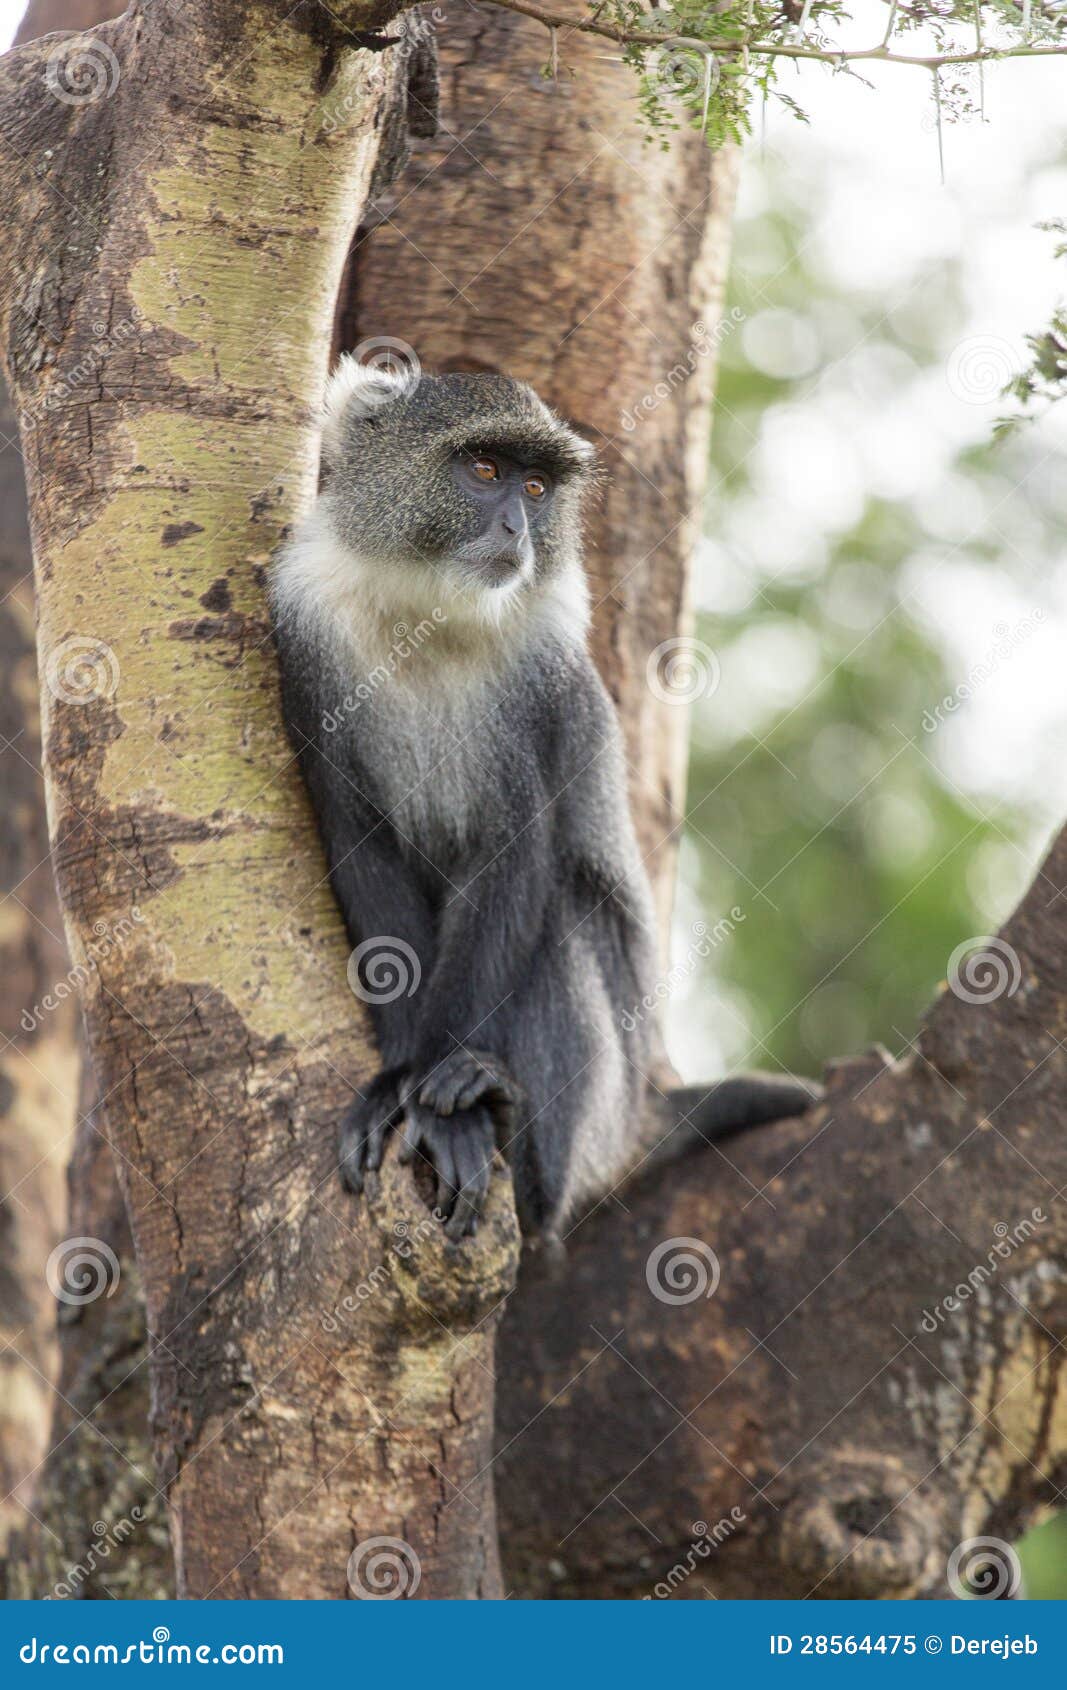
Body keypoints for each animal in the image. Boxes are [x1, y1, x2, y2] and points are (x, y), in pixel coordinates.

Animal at [270, 359, 820, 1243]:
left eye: (535, 488)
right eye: (484, 470)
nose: (516, 532)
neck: (424, 617)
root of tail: (632, 1123)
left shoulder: (541, 685)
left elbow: (516, 857)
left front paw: (444, 1099)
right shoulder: (303, 642)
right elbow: (361, 849)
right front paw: (398, 1079)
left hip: (597, 1104)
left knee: (564, 909)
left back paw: (511, 1126)